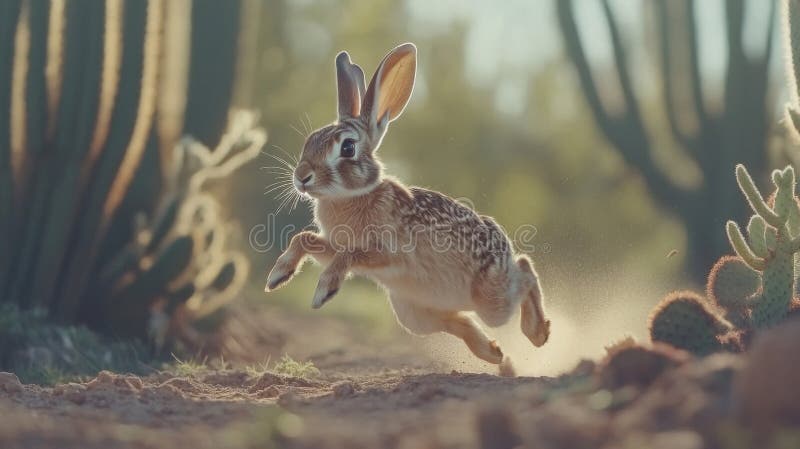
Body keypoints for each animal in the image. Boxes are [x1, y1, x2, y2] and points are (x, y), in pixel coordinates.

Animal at [265, 43, 550, 368]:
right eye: (310, 140)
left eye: (348, 147)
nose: (301, 177)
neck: (352, 196)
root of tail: (505, 248)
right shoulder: (333, 244)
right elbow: (305, 239)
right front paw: (277, 276)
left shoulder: (390, 253)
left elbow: (350, 255)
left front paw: (323, 292)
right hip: (412, 312)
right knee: (456, 320)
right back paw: (492, 352)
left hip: (491, 298)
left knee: (524, 272)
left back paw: (537, 332)